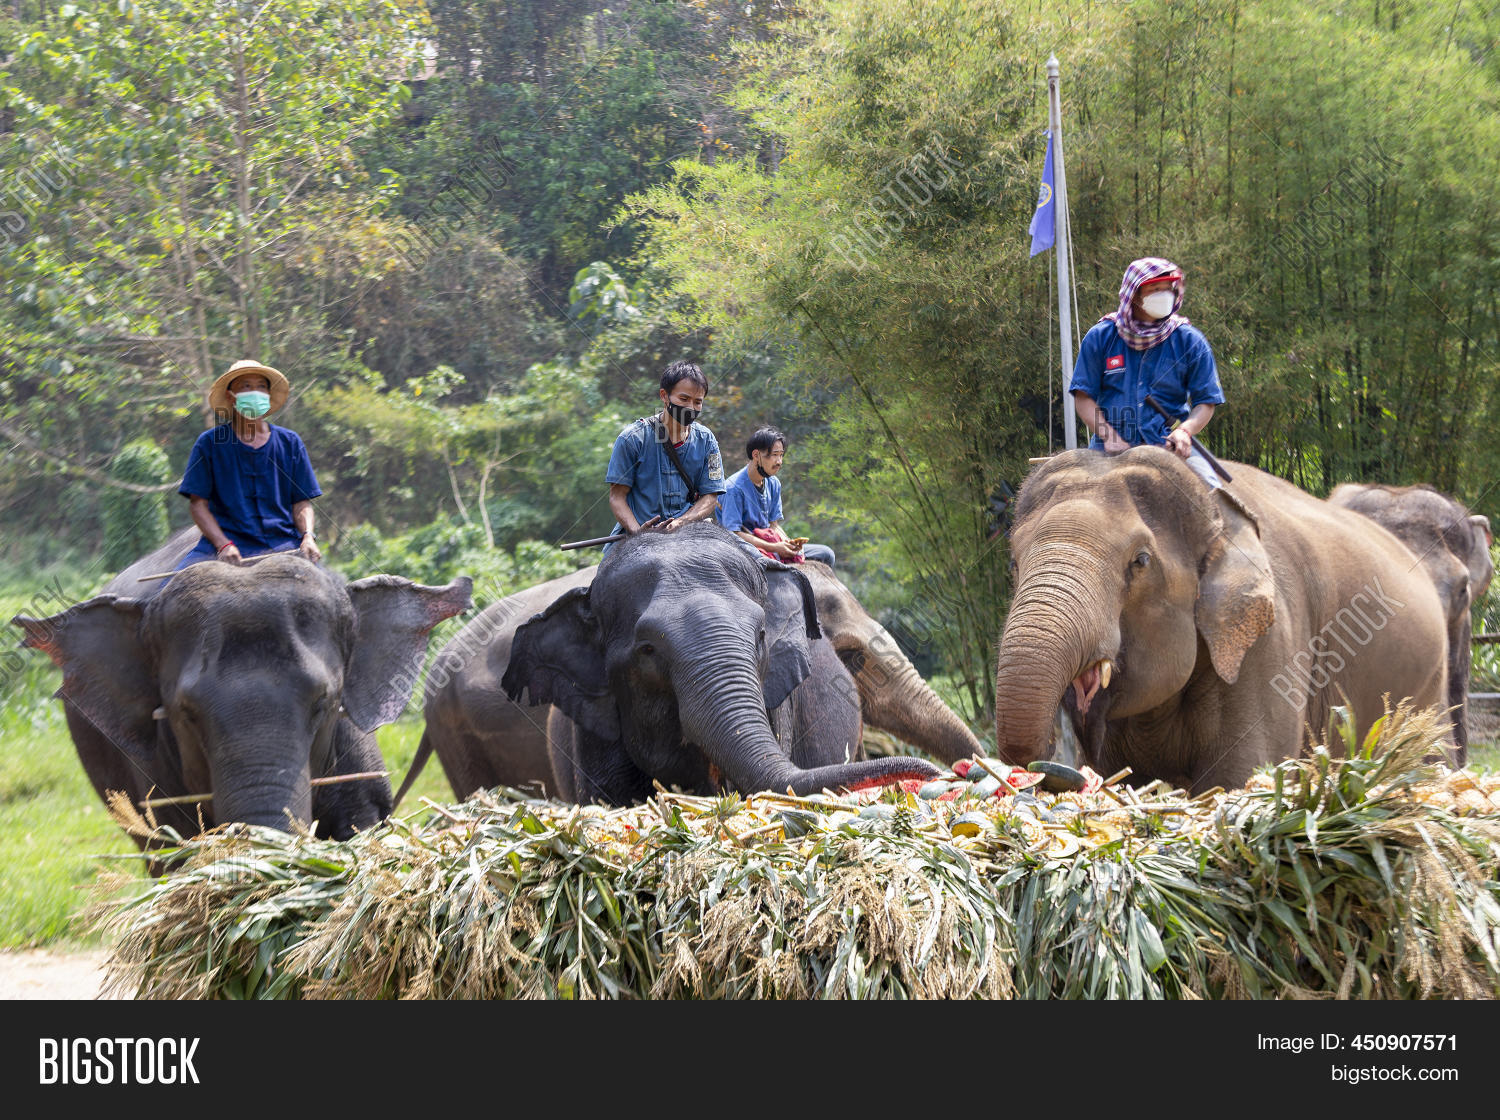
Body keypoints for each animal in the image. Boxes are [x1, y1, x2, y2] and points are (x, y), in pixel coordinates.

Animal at [993, 447, 1449, 794]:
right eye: (1013, 562)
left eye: (1140, 561)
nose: (1045, 762)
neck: (1213, 513)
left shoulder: (1270, 641)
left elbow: (1237, 778)